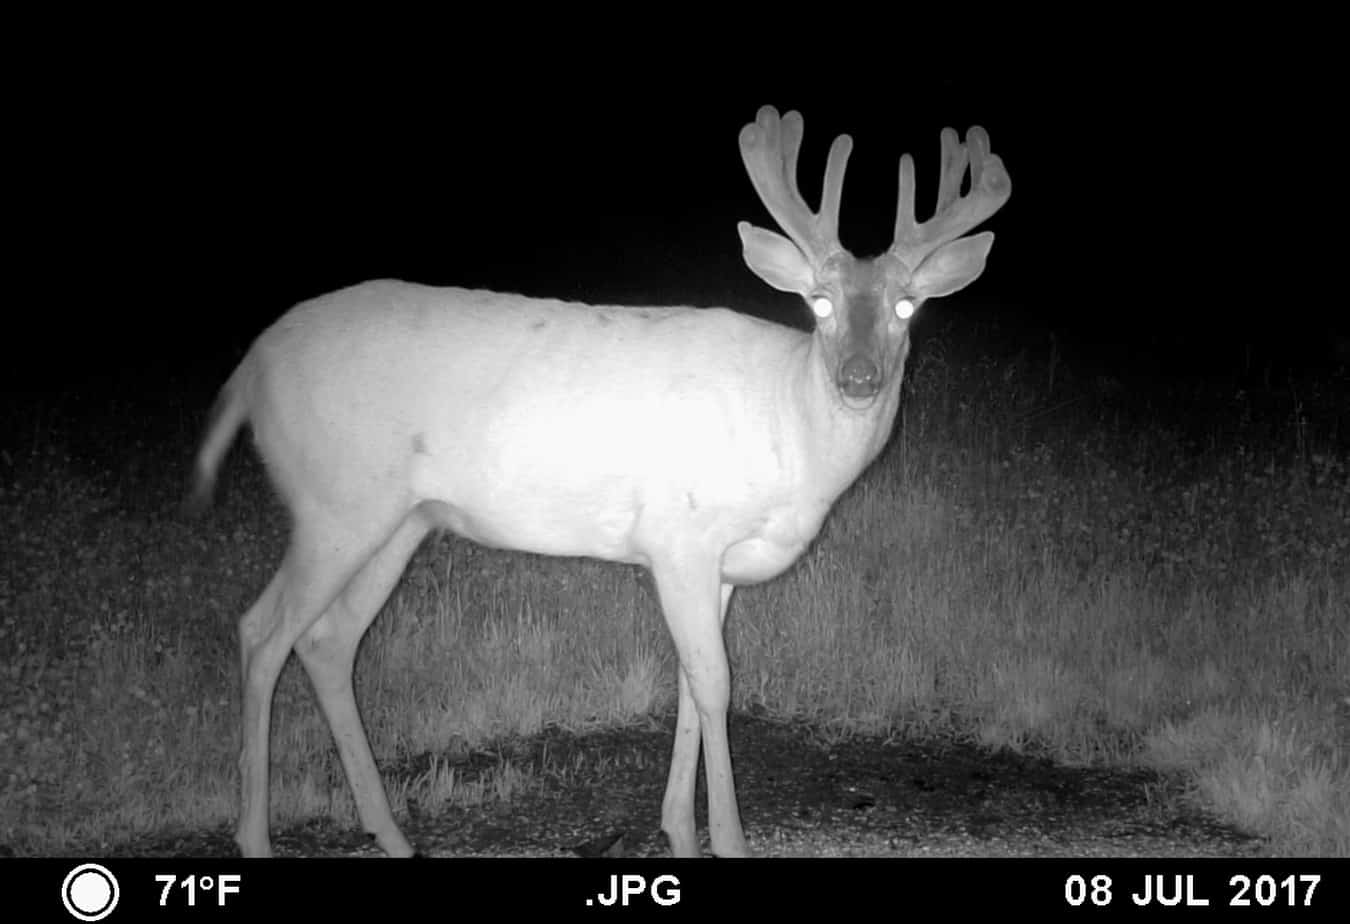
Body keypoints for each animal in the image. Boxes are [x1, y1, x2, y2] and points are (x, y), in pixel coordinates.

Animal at [191, 105, 1011, 858]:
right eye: (819, 302)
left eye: (907, 305)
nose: (860, 378)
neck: (789, 429)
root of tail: (251, 367)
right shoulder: (679, 535)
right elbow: (715, 681)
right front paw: (728, 840)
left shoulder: (718, 564)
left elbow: (691, 679)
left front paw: (678, 828)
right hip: (335, 500)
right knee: (262, 630)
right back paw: (257, 838)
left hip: (399, 519)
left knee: (330, 640)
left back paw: (390, 833)